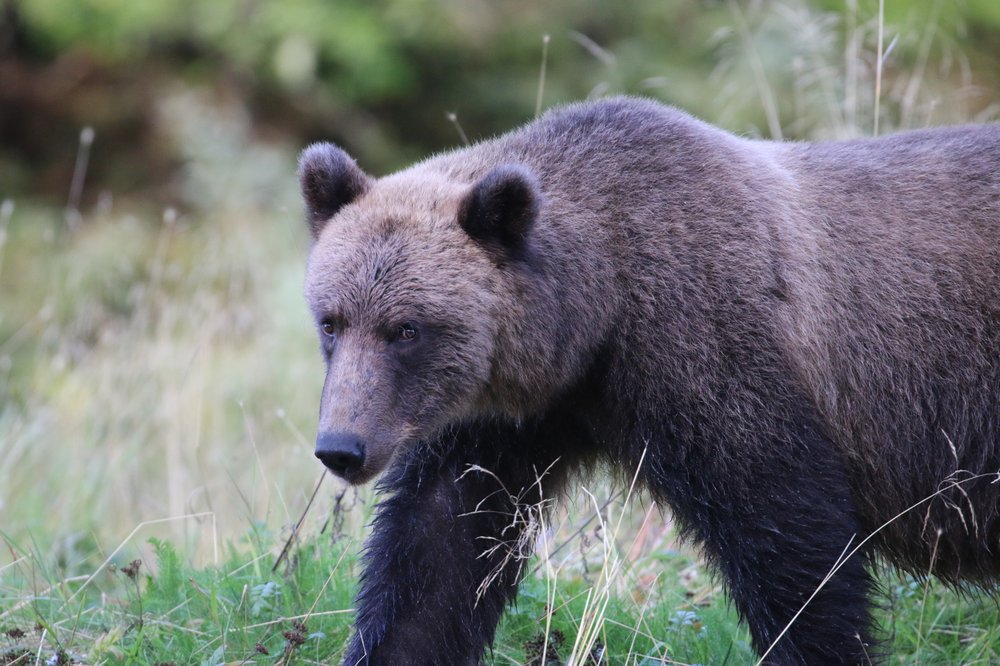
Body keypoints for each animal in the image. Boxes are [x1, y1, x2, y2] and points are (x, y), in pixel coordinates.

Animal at [296, 96, 1000, 665]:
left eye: (407, 329)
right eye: (331, 321)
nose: (341, 447)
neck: (599, 312)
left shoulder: (710, 356)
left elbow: (794, 548)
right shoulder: (506, 422)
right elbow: (434, 555)